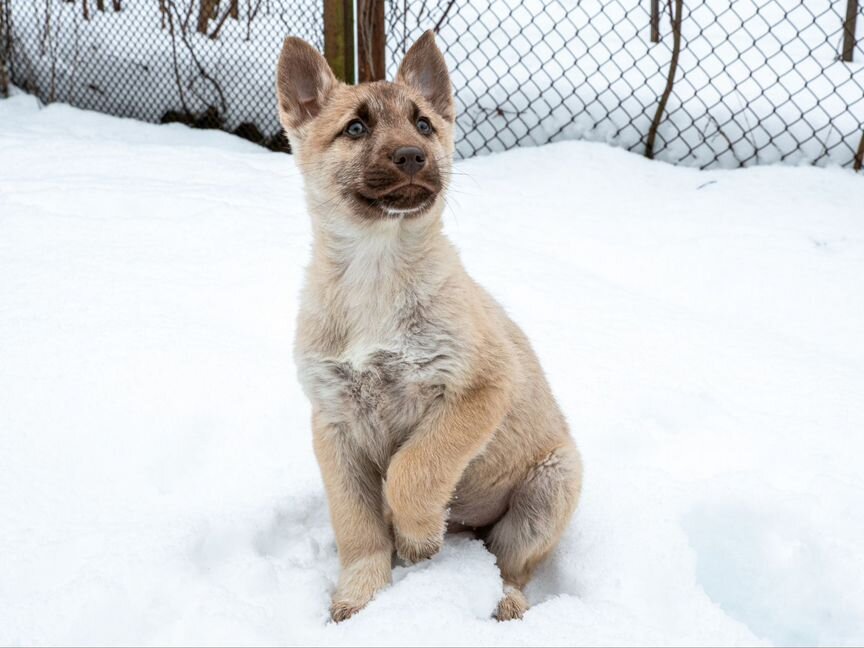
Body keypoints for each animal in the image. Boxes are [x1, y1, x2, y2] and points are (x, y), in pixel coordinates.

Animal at [276, 30, 584, 624]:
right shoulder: (335, 425)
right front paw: (361, 592)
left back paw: (506, 601)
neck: (376, 269)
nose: (413, 157)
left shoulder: (479, 389)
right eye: (356, 128)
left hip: (547, 490)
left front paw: (418, 537)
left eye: (423, 124)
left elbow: (413, 468)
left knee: (514, 565)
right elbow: (357, 523)